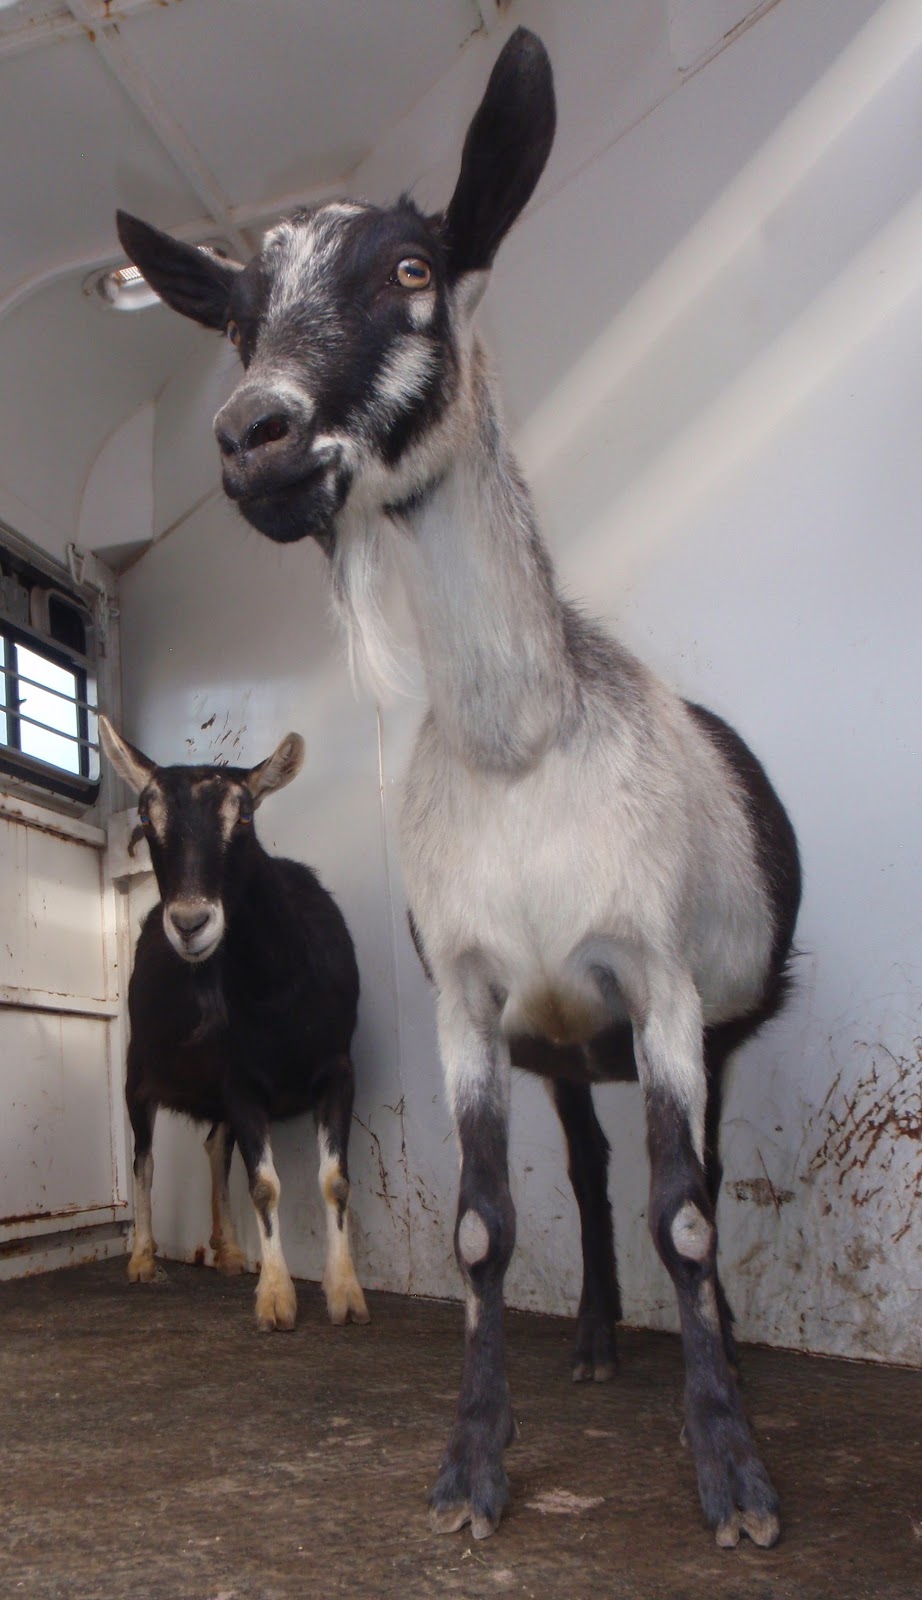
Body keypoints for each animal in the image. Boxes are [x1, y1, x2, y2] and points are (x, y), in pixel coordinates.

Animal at [99, 716, 369, 1333]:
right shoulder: (240, 1079)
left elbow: (334, 1180)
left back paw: (226, 1250)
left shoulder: (338, 1068)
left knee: (213, 1146)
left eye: (243, 815)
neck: (280, 990)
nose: (190, 922)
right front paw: (275, 1299)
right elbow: (264, 1186)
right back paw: (144, 1258)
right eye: (147, 817)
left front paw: (346, 1294)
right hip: (137, 1072)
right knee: (144, 1160)